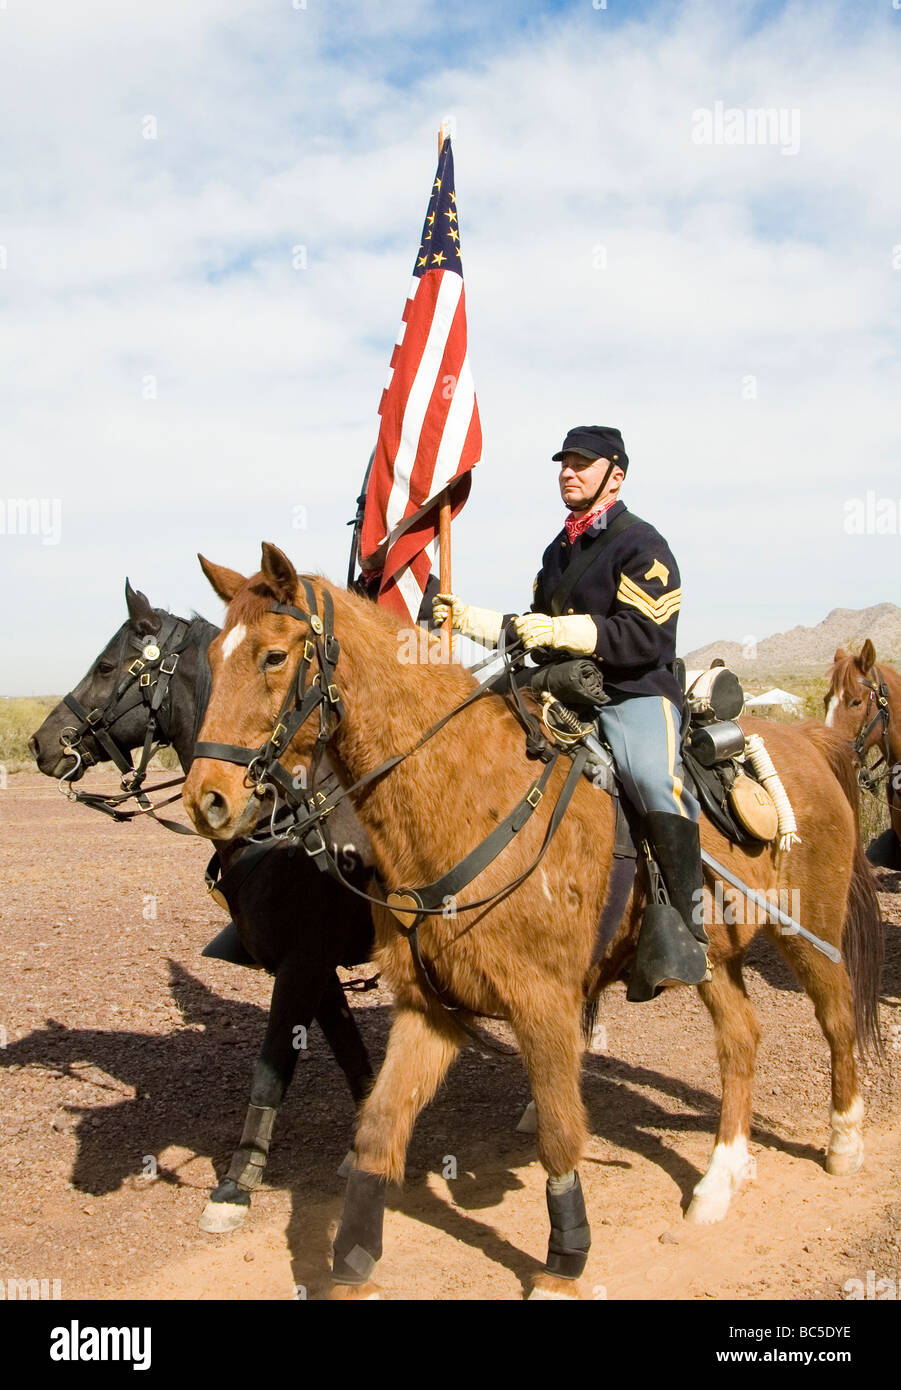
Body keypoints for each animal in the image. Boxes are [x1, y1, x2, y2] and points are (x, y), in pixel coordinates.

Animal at [30, 580, 377, 1233]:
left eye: (106, 665)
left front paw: (237, 1184)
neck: (290, 817)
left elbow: (270, 1068)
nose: (40, 744)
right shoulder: (318, 969)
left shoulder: (301, 964)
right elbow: (350, 1053)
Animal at [183, 543, 883, 1300]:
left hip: (809, 934)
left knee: (836, 1019)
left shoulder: (542, 1004)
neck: (469, 801)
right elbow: (378, 1129)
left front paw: (564, 1261)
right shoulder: (429, 1008)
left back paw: (844, 1141)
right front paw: (352, 1263)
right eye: (212, 657)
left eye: (274, 656)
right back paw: (719, 1179)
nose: (207, 800)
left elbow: (558, 1132)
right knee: (740, 1040)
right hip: (714, 959)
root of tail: (811, 738)